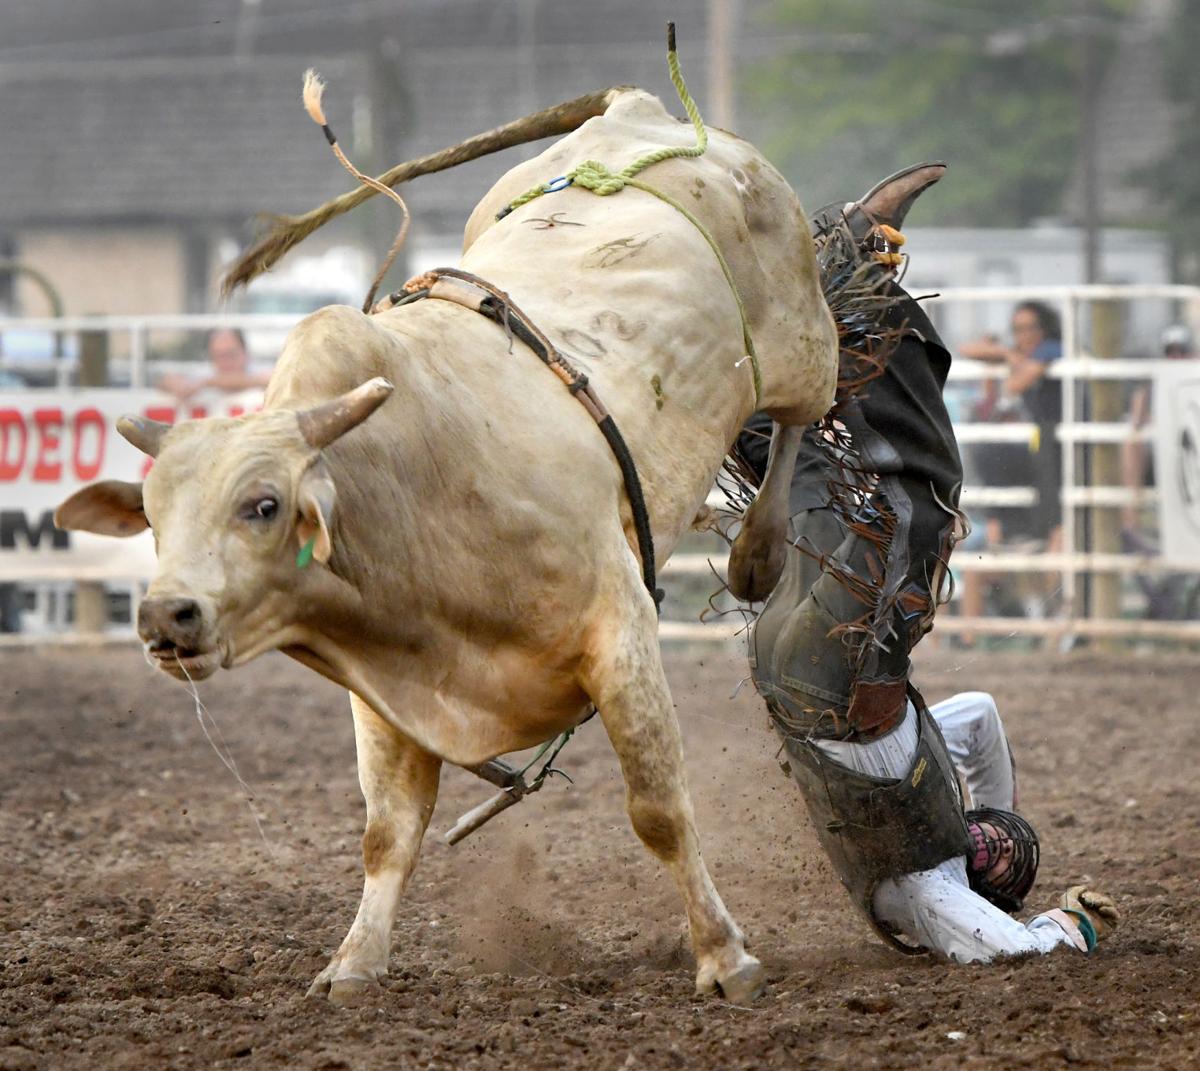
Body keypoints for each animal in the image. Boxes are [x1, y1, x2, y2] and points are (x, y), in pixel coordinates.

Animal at [55, 86, 837, 1004]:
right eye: (152, 516)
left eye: (264, 504)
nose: (164, 615)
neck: (415, 489)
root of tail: (640, 110)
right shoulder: (387, 689)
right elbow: (388, 832)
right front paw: (353, 963)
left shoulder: (621, 634)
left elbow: (658, 809)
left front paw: (724, 954)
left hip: (803, 341)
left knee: (796, 421)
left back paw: (759, 552)